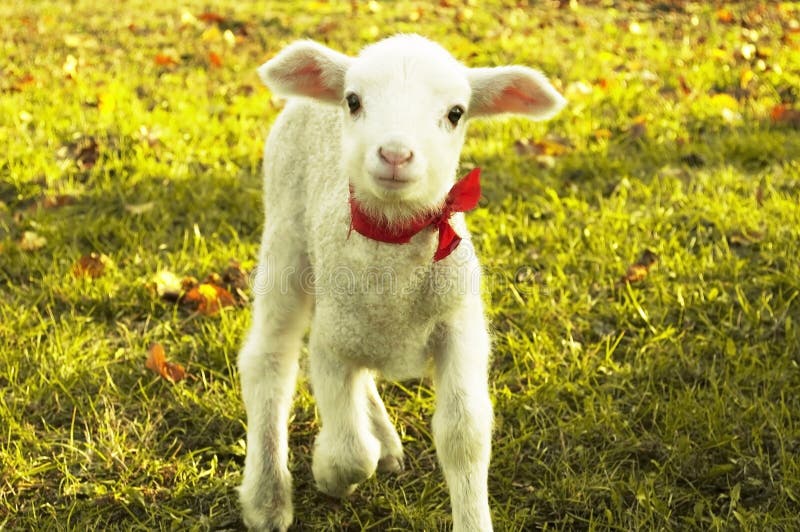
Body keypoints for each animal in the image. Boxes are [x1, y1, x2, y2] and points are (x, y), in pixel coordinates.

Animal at [237, 34, 565, 531]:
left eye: (456, 113)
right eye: (353, 101)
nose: (395, 154)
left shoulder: (459, 327)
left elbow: (465, 434)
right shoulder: (331, 344)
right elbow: (352, 452)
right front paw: (330, 473)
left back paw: (384, 439)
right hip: (285, 240)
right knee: (270, 359)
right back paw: (267, 497)